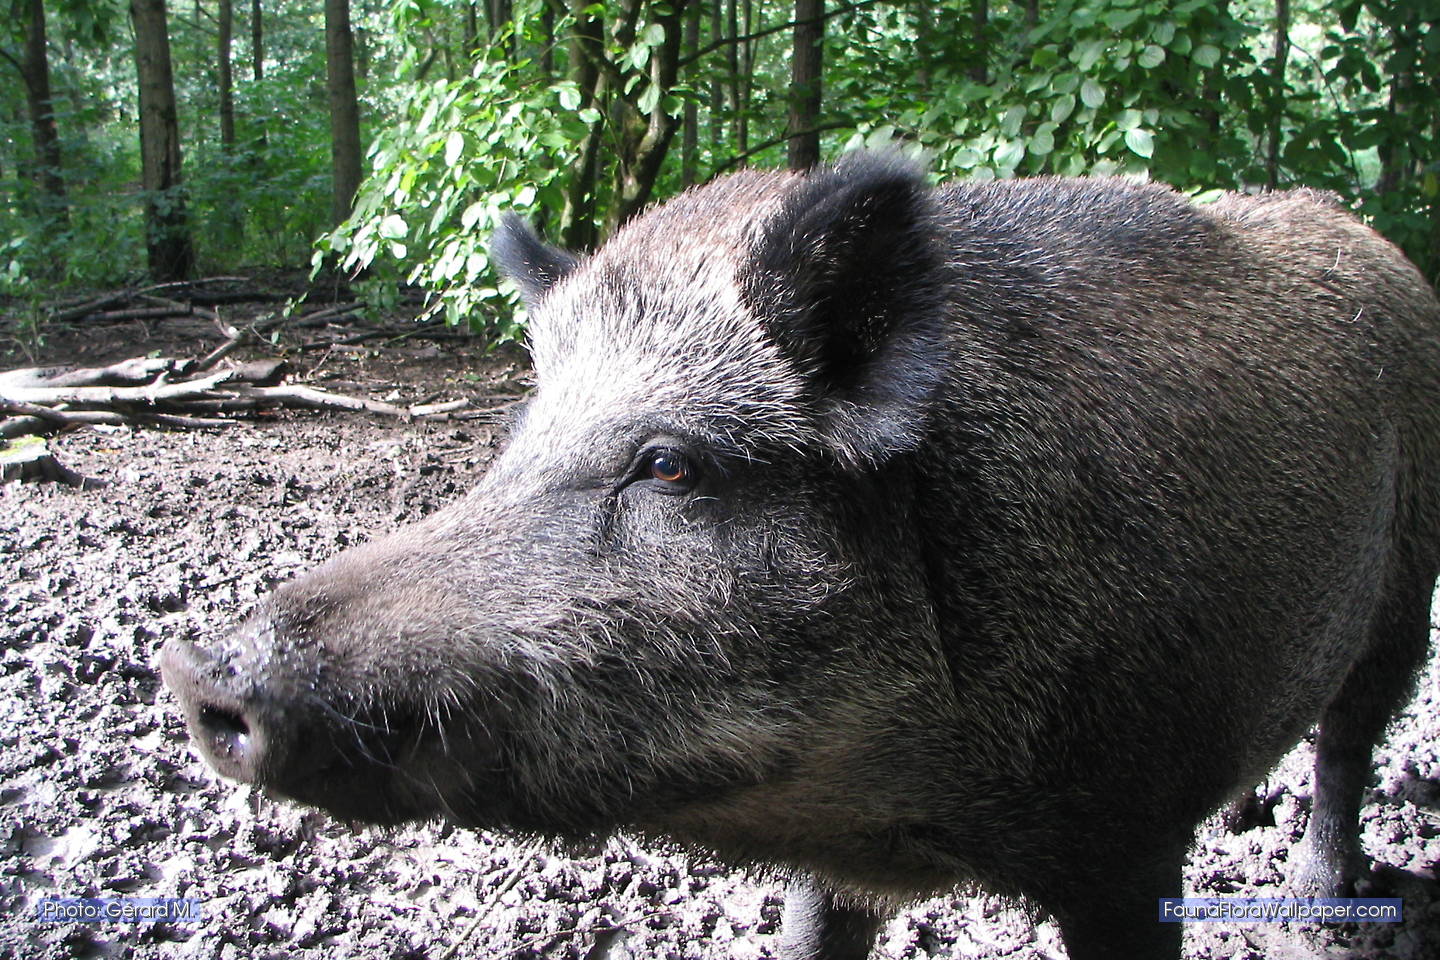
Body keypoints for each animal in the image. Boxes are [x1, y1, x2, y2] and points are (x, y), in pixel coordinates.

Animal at [161, 151, 1440, 960]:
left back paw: (1324, 907)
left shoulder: (1127, 832)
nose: (194, 670)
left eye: (668, 464)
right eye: (522, 434)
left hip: (1409, 582)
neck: (906, 805)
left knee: (1350, 739)